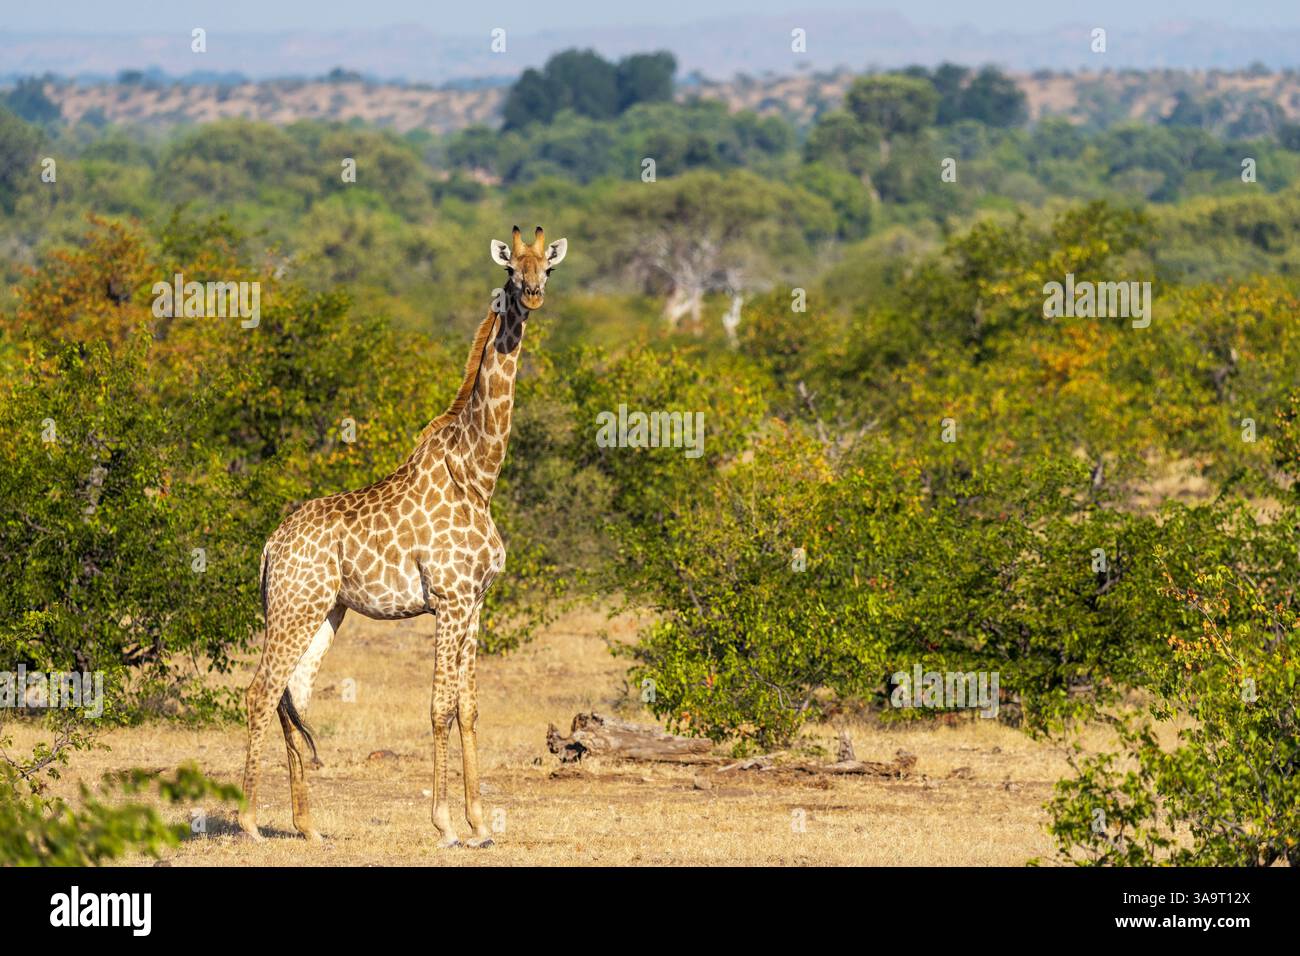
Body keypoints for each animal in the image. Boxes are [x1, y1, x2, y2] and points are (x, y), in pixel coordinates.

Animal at [237, 225, 568, 848]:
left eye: (549, 268)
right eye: (512, 269)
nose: (533, 294)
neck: (479, 474)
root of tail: (270, 547)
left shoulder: (476, 603)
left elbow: (468, 709)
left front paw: (480, 823)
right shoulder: (449, 600)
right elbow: (439, 707)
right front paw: (445, 825)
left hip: (324, 612)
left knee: (292, 695)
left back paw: (308, 826)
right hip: (295, 607)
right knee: (260, 691)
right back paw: (247, 822)